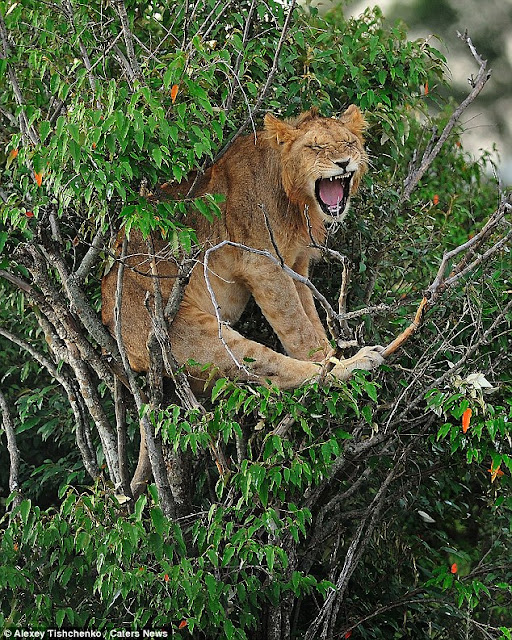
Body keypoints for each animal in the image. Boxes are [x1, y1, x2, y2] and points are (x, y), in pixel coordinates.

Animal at [101, 106, 384, 393]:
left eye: (349, 143)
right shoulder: (263, 265)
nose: (343, 162)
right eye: (315, 147)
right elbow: (297, 326)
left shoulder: (296, 263)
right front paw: (327, 357)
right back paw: (352, 365)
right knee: (277, 374)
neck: (297, 202)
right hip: (195, 337)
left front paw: (329, 347)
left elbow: (310, 316)